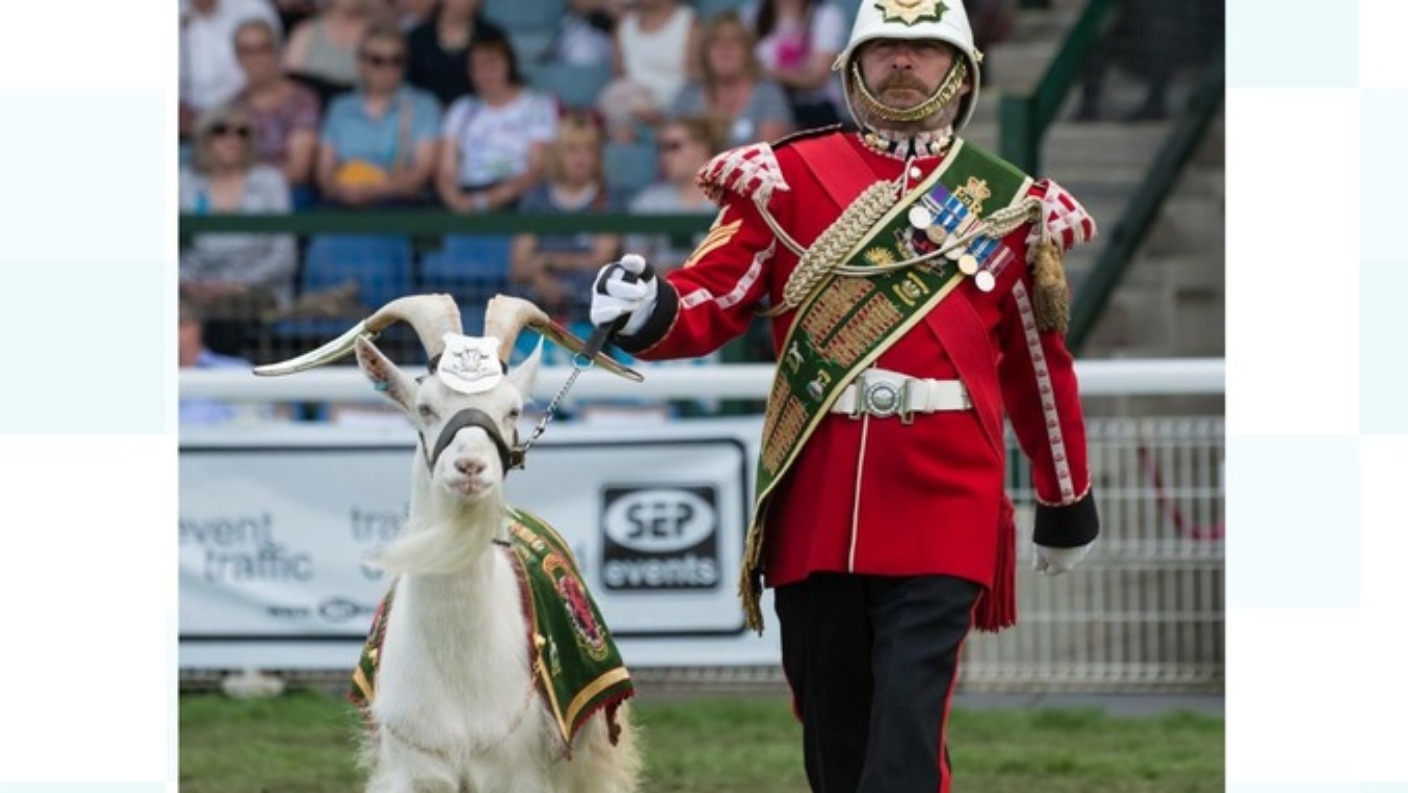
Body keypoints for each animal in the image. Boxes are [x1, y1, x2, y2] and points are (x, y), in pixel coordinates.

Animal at [256, 293, 643, 793]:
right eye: (424, 406)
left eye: (513, 409)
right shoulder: (411, 771)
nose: (471, 466)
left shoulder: (517, 775)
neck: (458, 677)